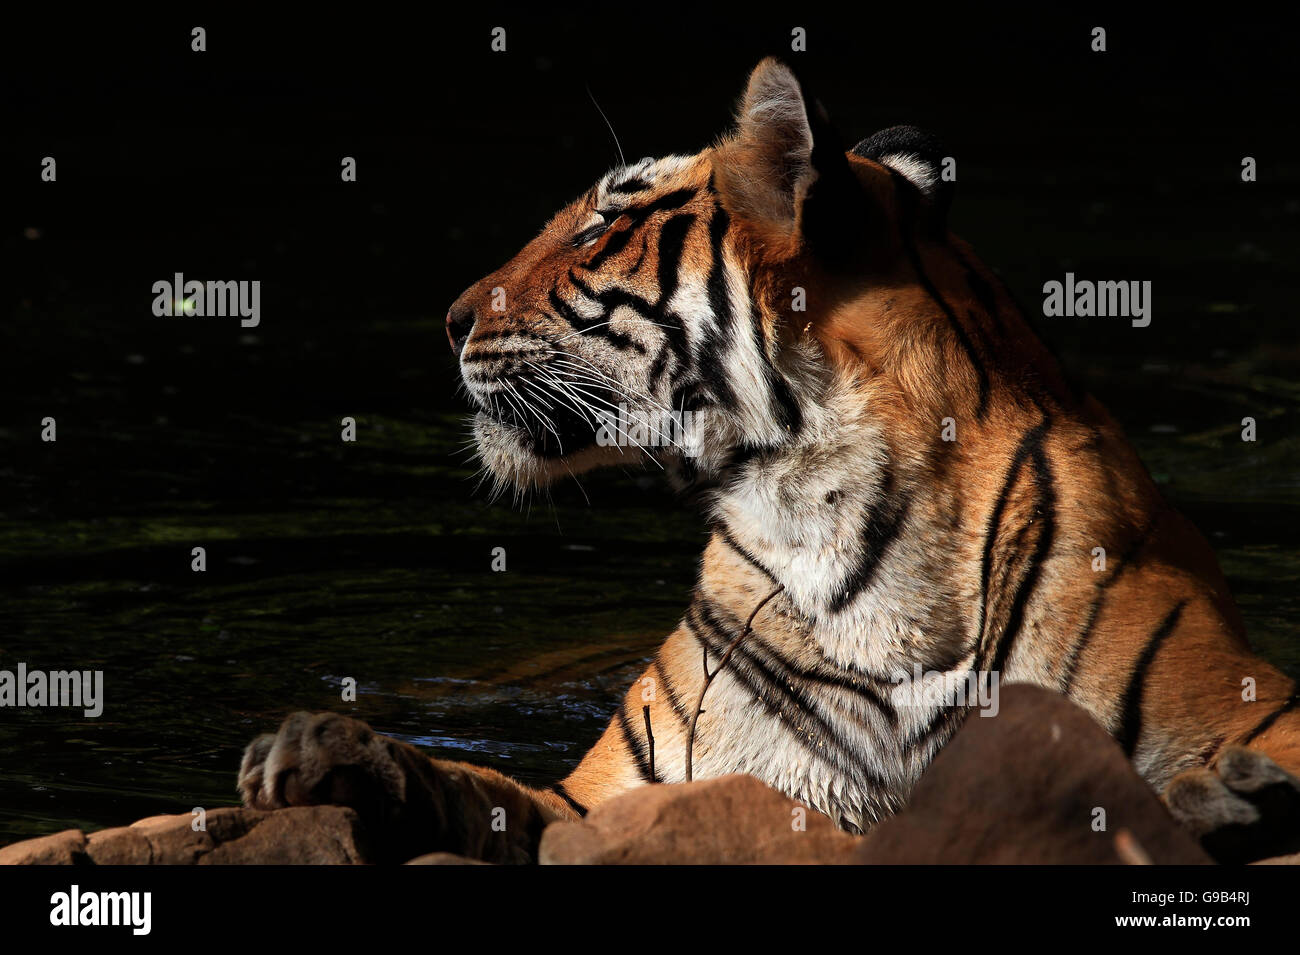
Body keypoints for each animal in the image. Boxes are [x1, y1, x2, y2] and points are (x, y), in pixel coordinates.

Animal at [237, 58, 1300, 864]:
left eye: (600, 226)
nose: (451, 318)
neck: (830, 521)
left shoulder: (1245, 699)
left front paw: (1226, 801)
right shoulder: (615, 791)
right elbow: (484, 792)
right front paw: (330, 757)